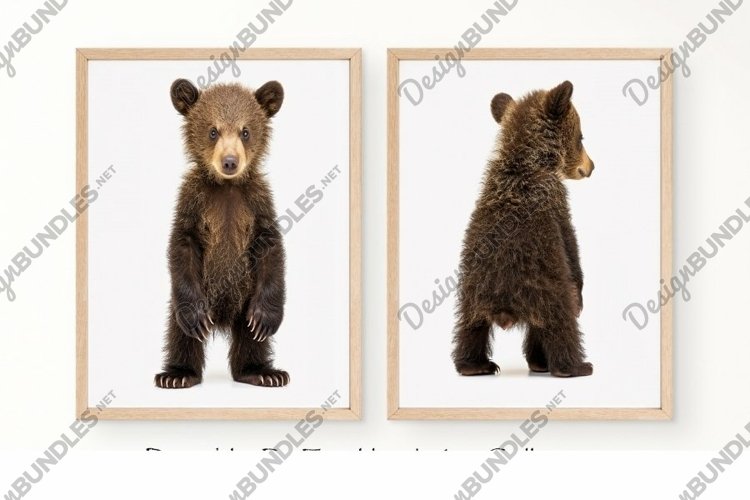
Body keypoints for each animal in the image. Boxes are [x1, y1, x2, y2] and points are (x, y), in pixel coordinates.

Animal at [154, 78, 289, 389]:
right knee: (179, 332)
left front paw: (267, 318)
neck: (227, 186)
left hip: (246, 297)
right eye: (213, 131)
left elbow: (272, 250)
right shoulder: (192, 202)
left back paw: (263, 372)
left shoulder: (258, 203)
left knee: (251, 338)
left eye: (245, 131)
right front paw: (194, 319)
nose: (229, 161)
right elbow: (181, 246)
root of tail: (223, 319)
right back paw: (177, 374)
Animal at [451, 80, 595, 378]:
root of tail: (504, 304)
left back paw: (476, 365)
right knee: (561, 323)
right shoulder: (554, 198)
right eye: (581, 137)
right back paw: (574, 366)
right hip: (545, 284)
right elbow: (570, 240)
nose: (591, 167)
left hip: (472, 291)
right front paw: (582, 294)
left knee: (471, 328)